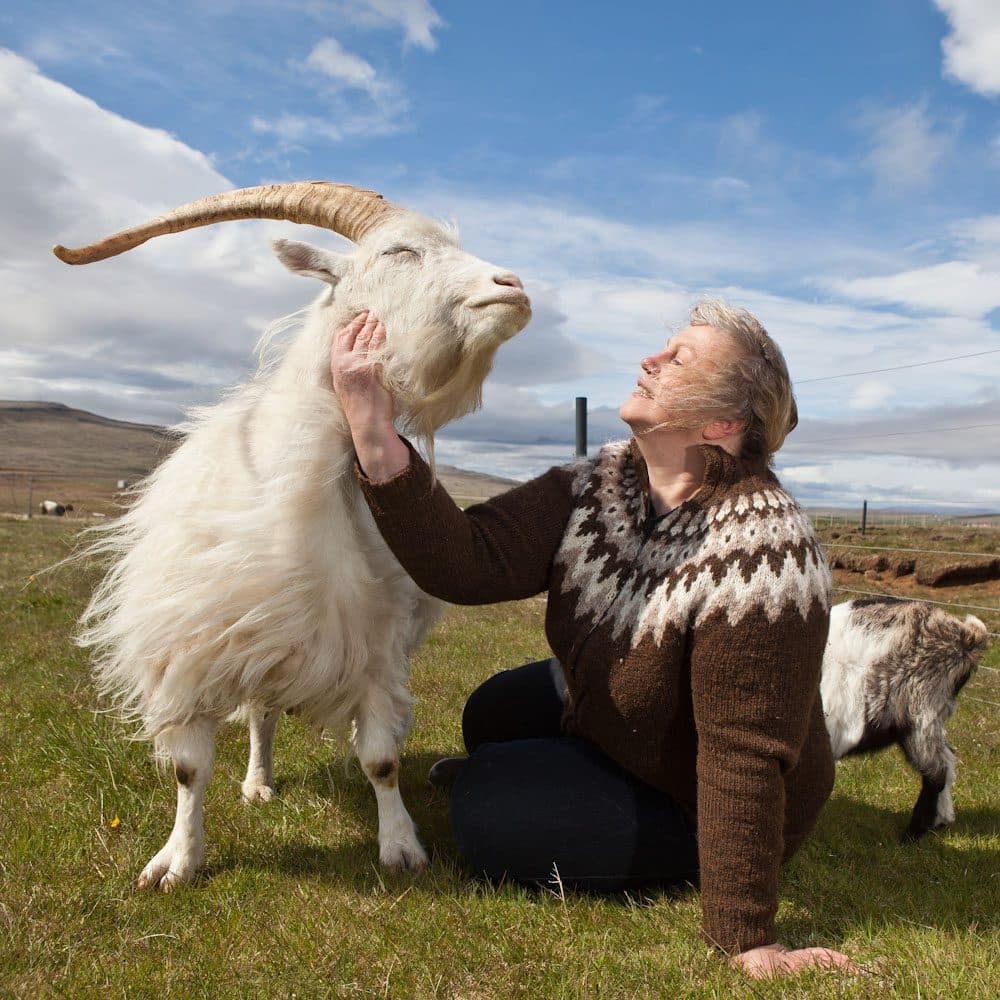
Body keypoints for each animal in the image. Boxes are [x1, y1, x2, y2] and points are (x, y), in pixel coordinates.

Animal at [53, 181, 531, 889]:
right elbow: (188, 770)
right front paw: (177, 861)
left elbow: (381, 759)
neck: (291, 488)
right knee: (260, 715)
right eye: (399, 251)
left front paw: (401, 848)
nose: (514, 286)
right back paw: (257, 784)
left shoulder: (376, 649)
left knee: (265, 712)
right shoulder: (190, 653)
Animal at [821, 597, 988, 840]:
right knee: (948, 758)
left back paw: (913, 834)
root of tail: (967, 635)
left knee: (936, 771)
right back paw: (941, 820)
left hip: (921, 710)